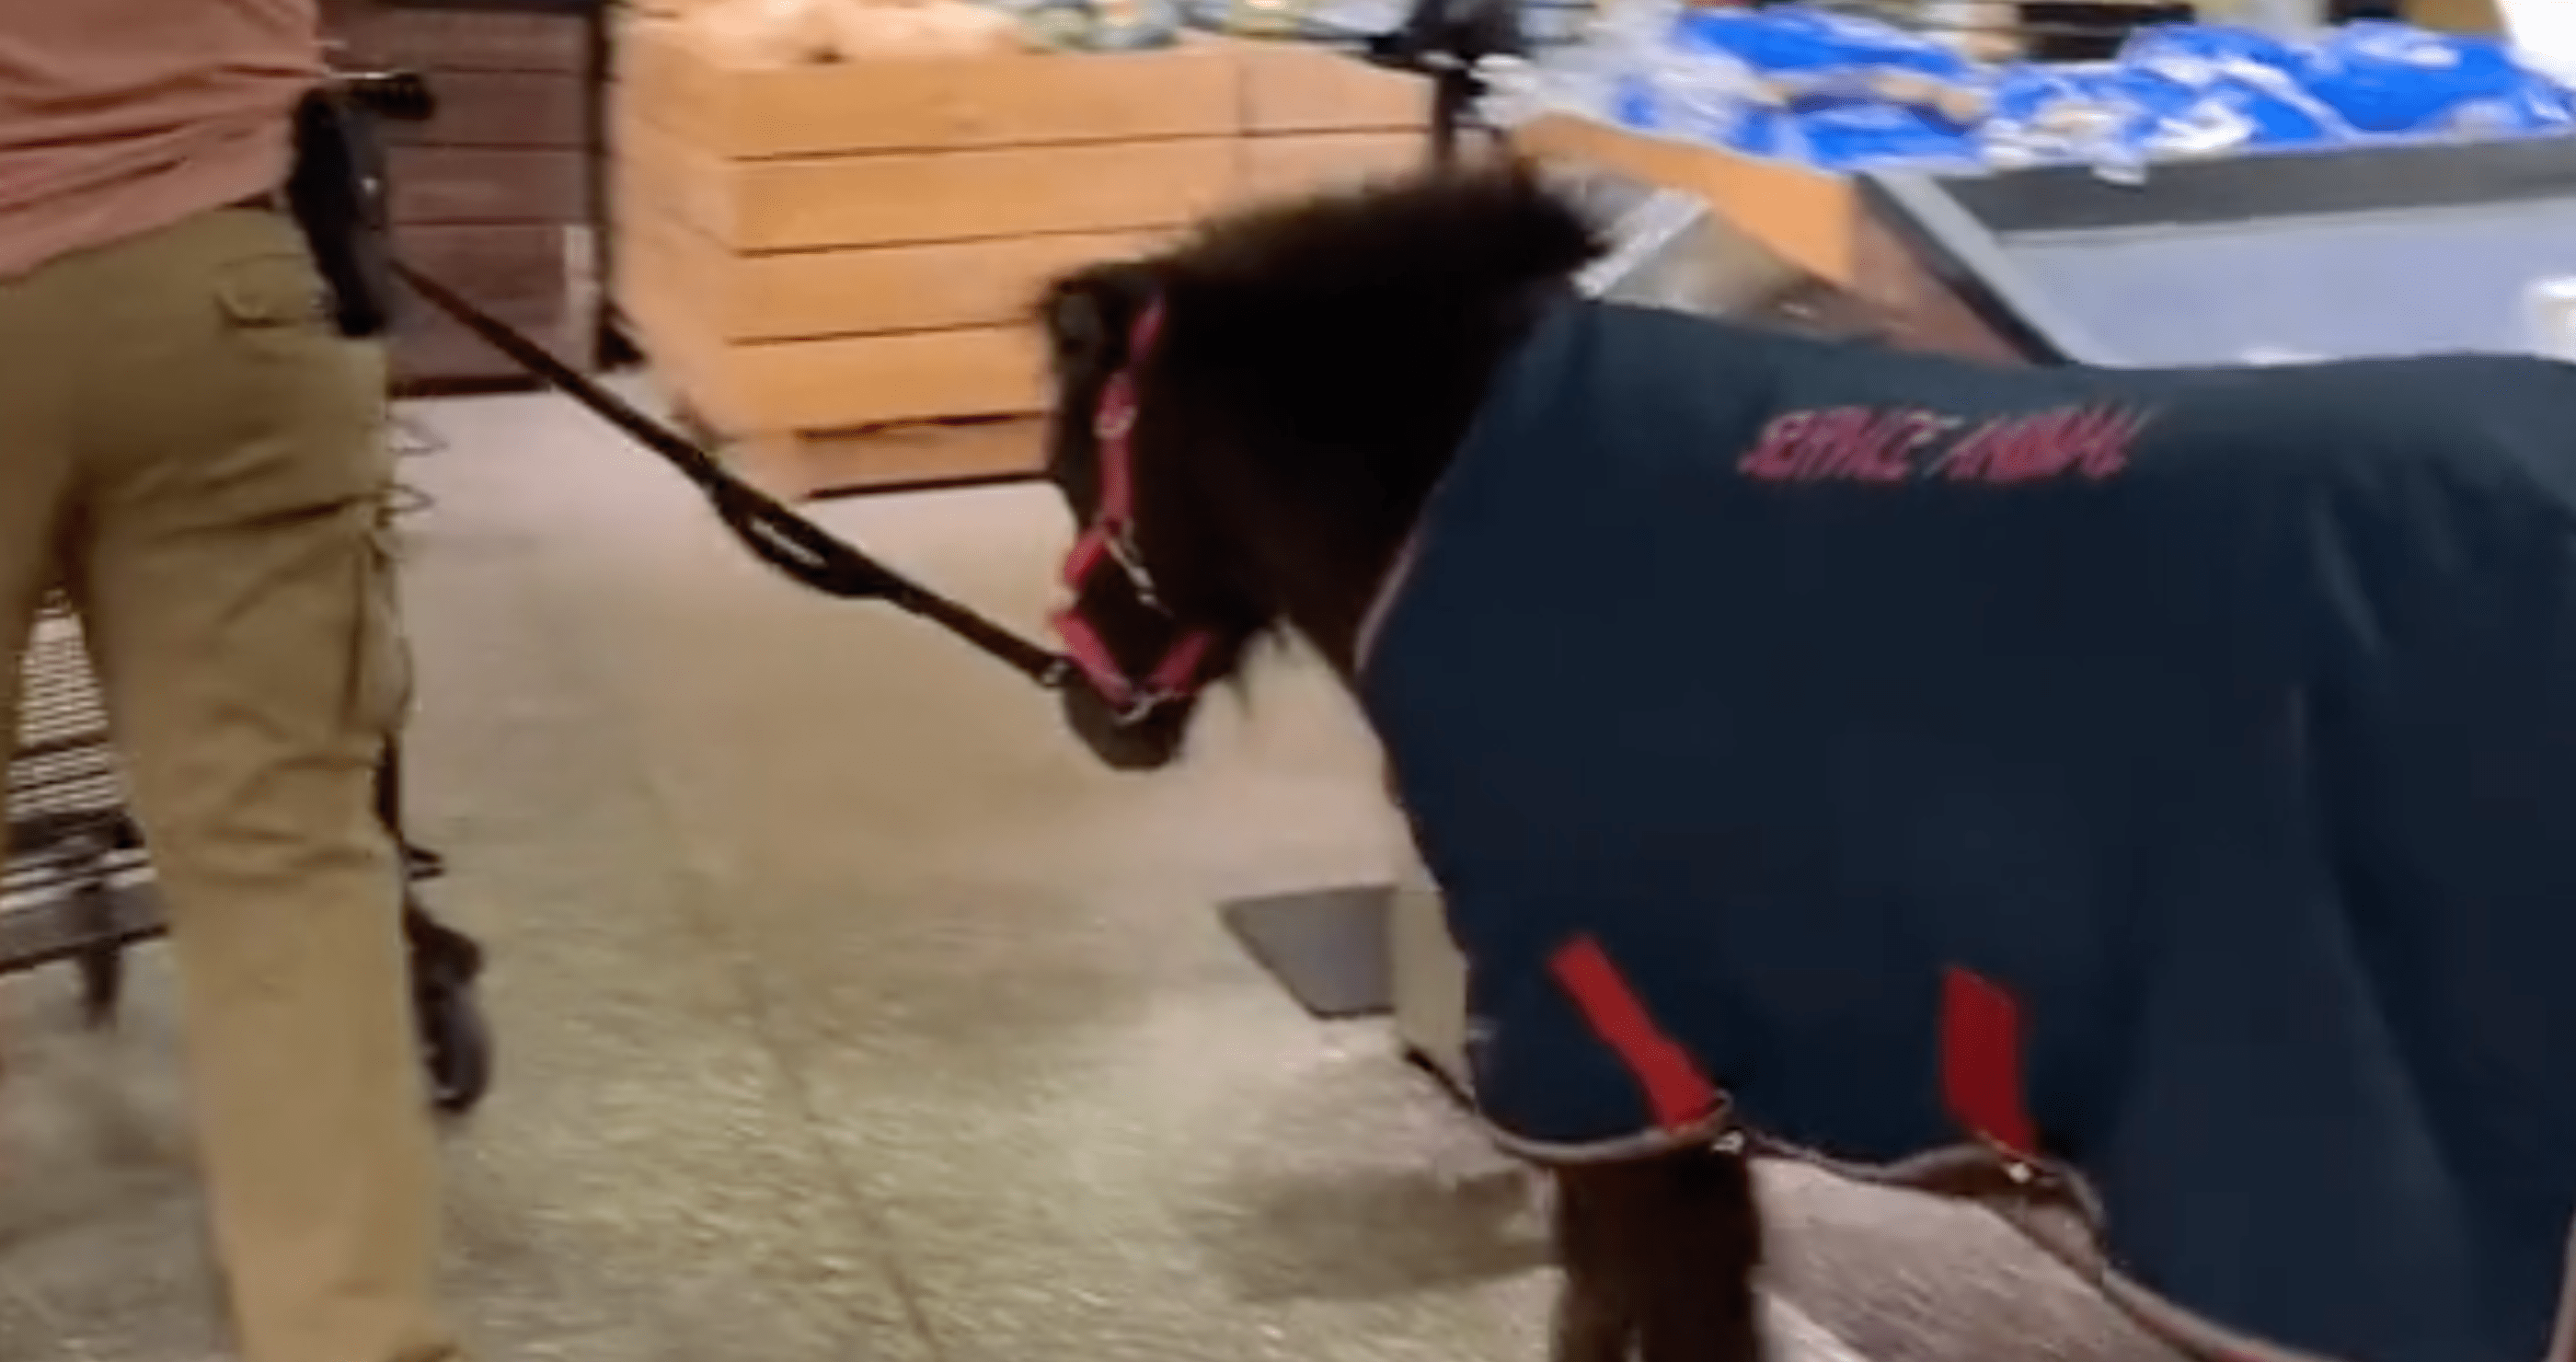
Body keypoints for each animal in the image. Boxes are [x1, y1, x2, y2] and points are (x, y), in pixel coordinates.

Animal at [1032, 163, 2576, 1362]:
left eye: (1071, 468)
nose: (1089, 702)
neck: (1470, 489)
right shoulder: (1680, 1092)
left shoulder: (1606, 1061)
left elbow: (1633, 1307)